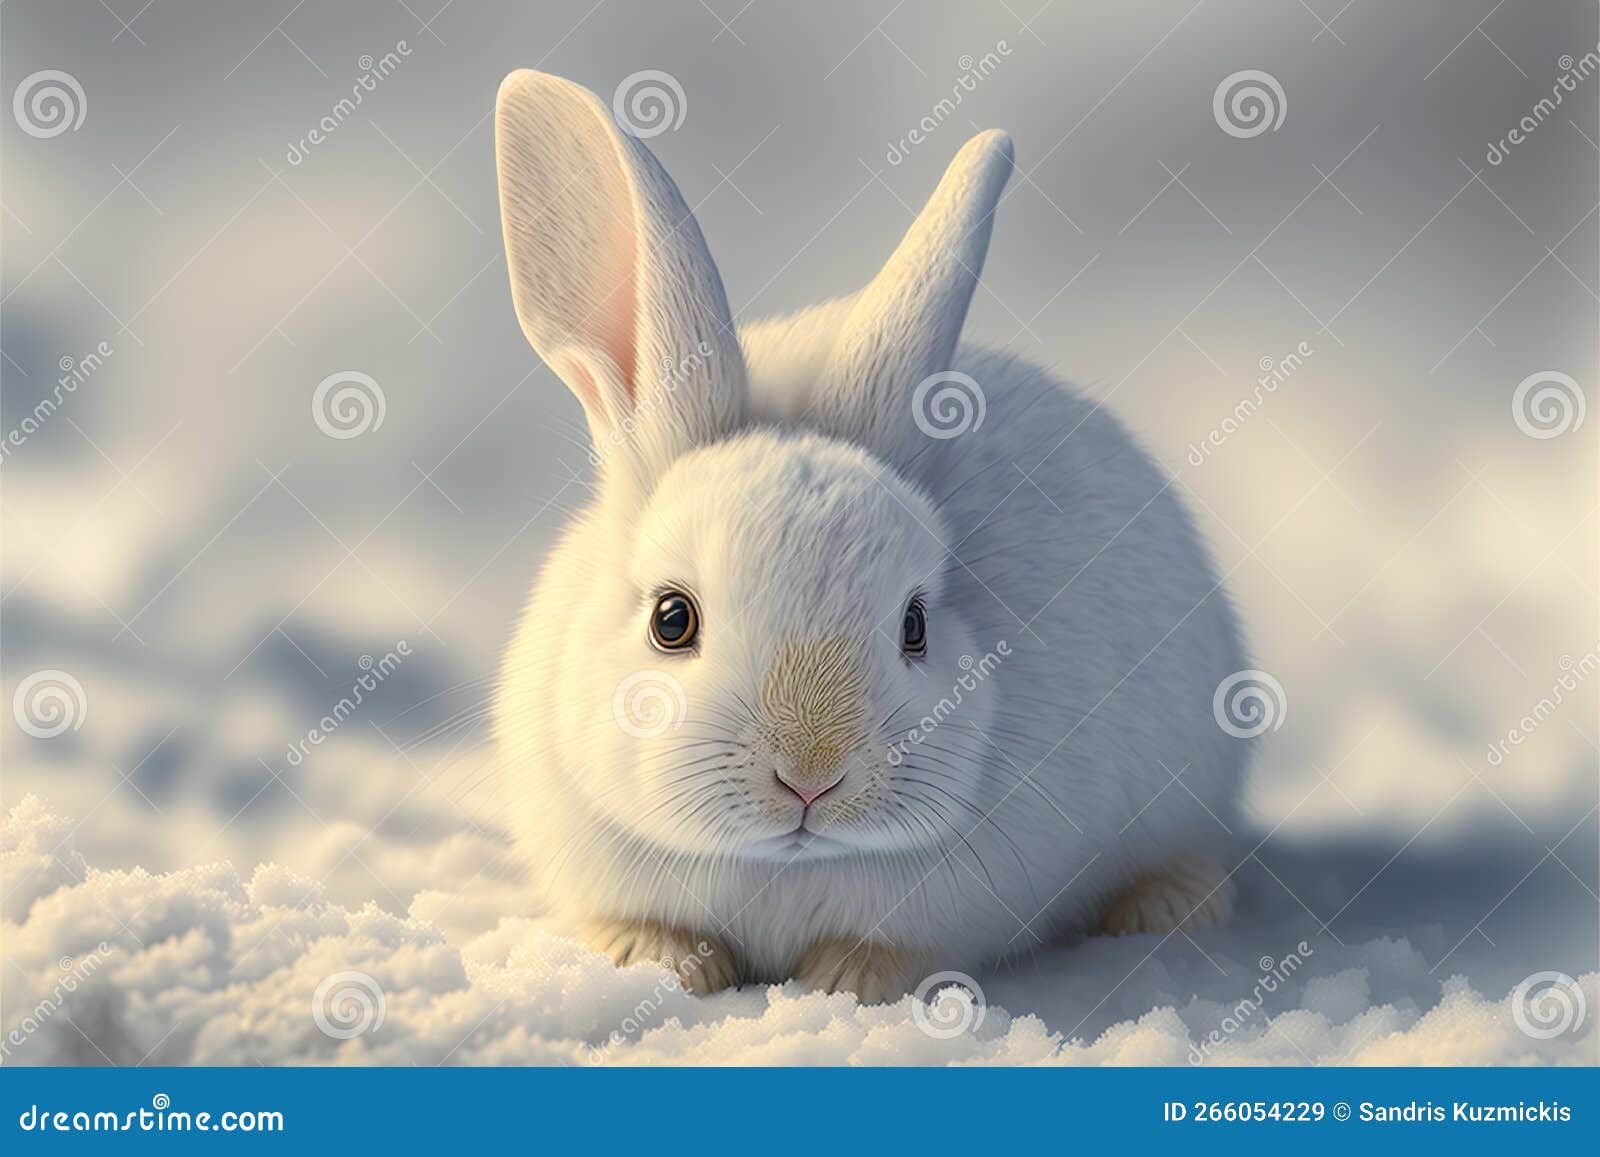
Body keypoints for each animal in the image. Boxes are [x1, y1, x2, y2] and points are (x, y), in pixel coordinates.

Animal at [492, 69, 1250, 1002]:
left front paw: (845, 978)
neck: (780, 866)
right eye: (672, 619)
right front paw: (658, 959)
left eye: (914, 625)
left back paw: (1171, 904)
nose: (811, 773)